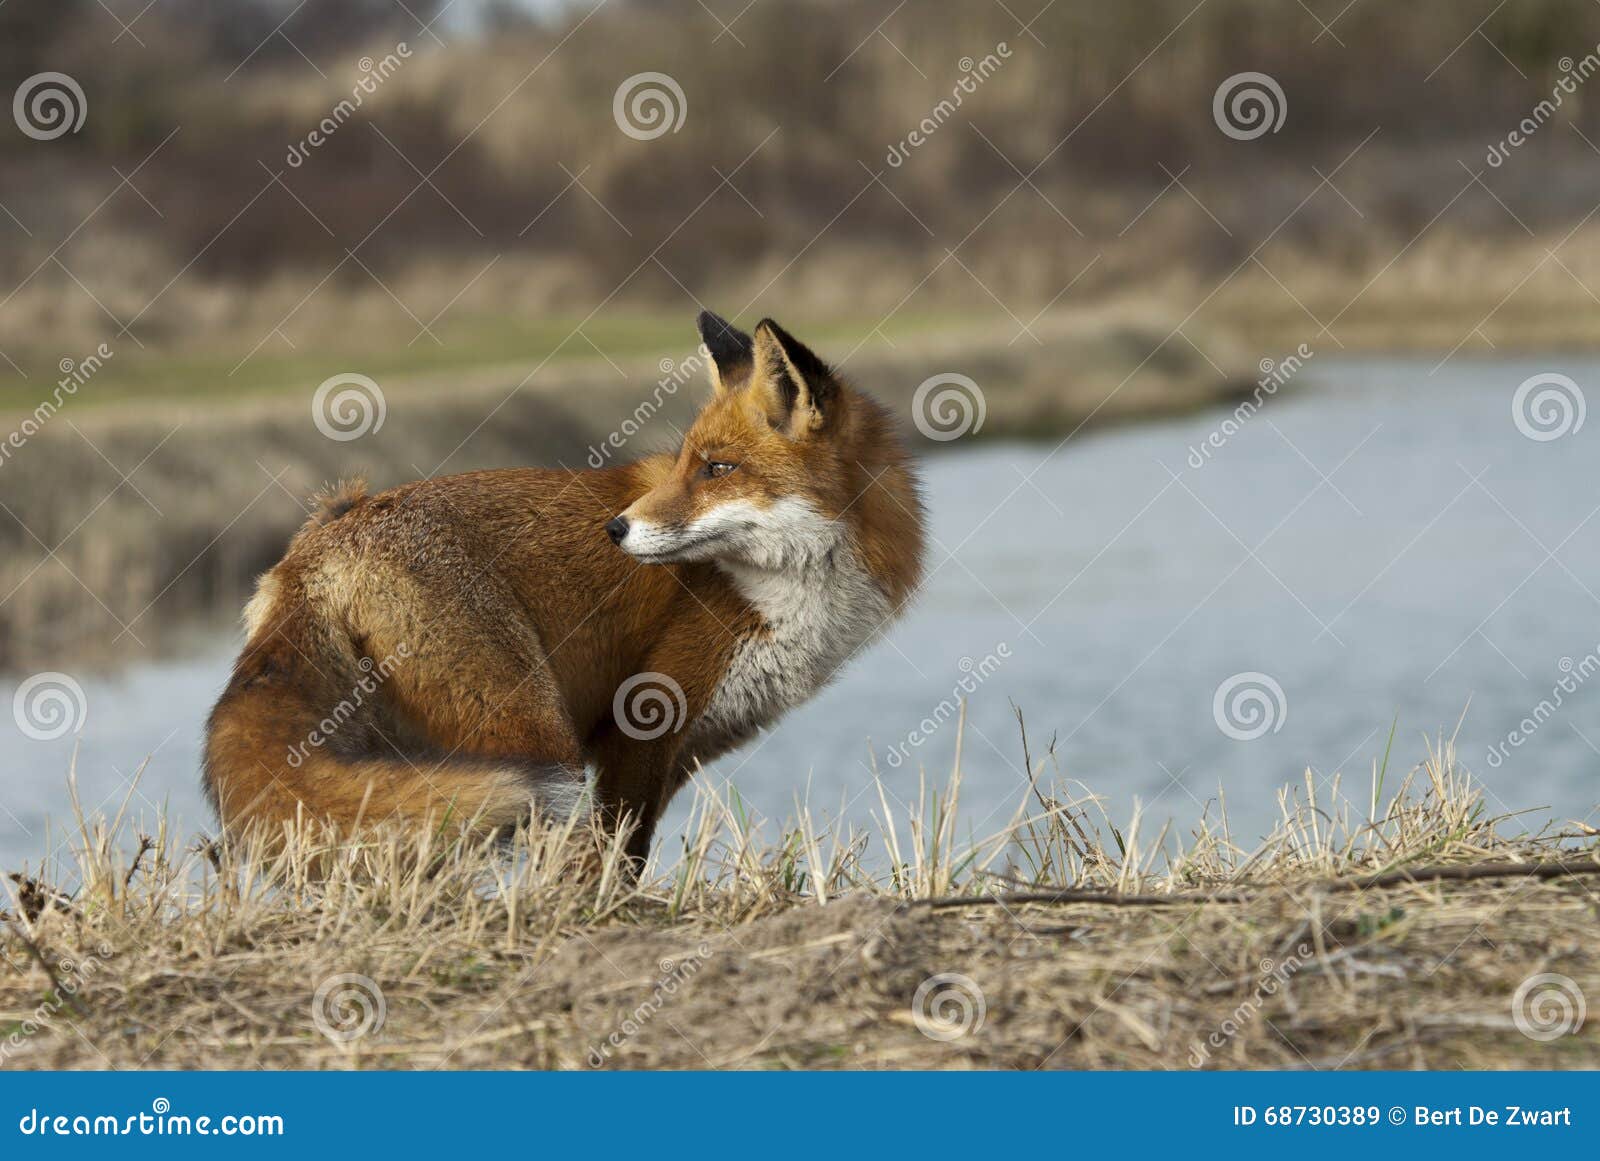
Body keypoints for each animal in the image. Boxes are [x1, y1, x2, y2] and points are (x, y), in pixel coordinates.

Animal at [203, 312, 926, 860]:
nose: (617, 529)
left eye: (718, 469)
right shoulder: (641, 722)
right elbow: (610, 861)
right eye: (687, 463)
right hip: (536, 738)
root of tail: (315, 550)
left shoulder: (683, 751)